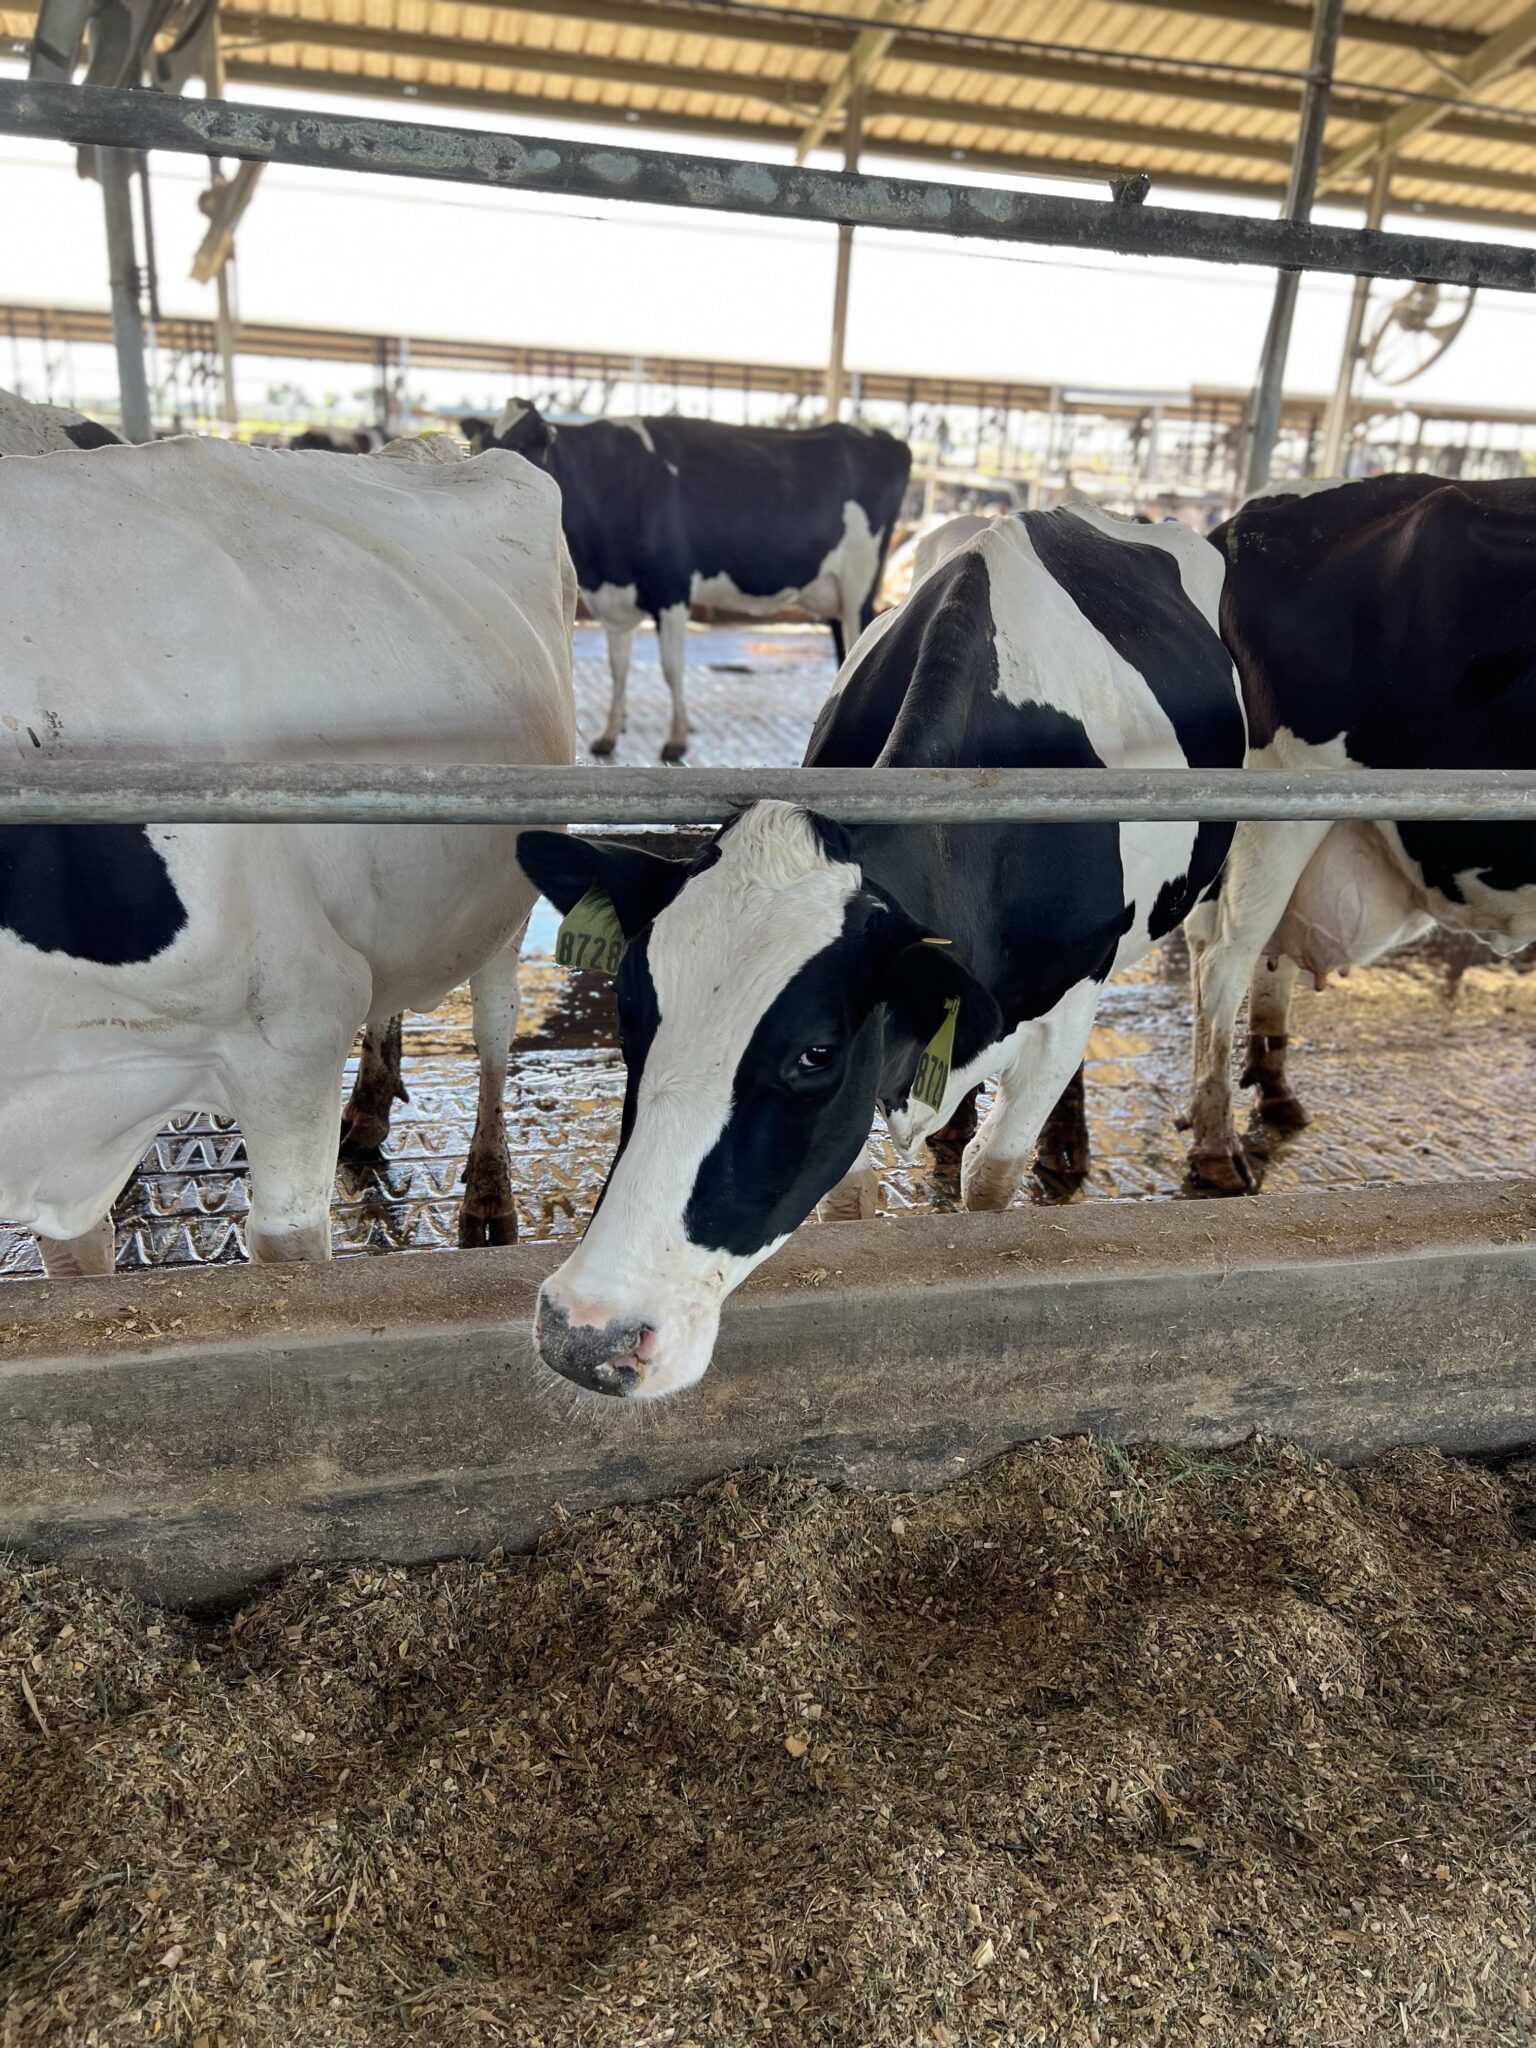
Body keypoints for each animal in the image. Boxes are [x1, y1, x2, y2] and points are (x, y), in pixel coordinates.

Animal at [0, 433, 575, 1275]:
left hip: (507, 887)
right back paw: (368, 1112)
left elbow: (288, 1257)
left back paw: (488, 1197)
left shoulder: (295, 1023)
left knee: (496, 1027)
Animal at [479, 401, 911, 761]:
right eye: (488, 446)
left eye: (529, 447)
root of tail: (881, 438)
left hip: (858, 584)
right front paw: (609, 734)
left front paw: (676, 739)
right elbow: (618, 668)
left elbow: (672, 668)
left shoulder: (672, 590)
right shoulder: (615, 602)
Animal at [515, 503, 1247, 1396]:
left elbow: (992, 1178)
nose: (584, 1333)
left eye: (816, 1052)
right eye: (628, 1010)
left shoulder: (1070, 995)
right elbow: (849, 1195)